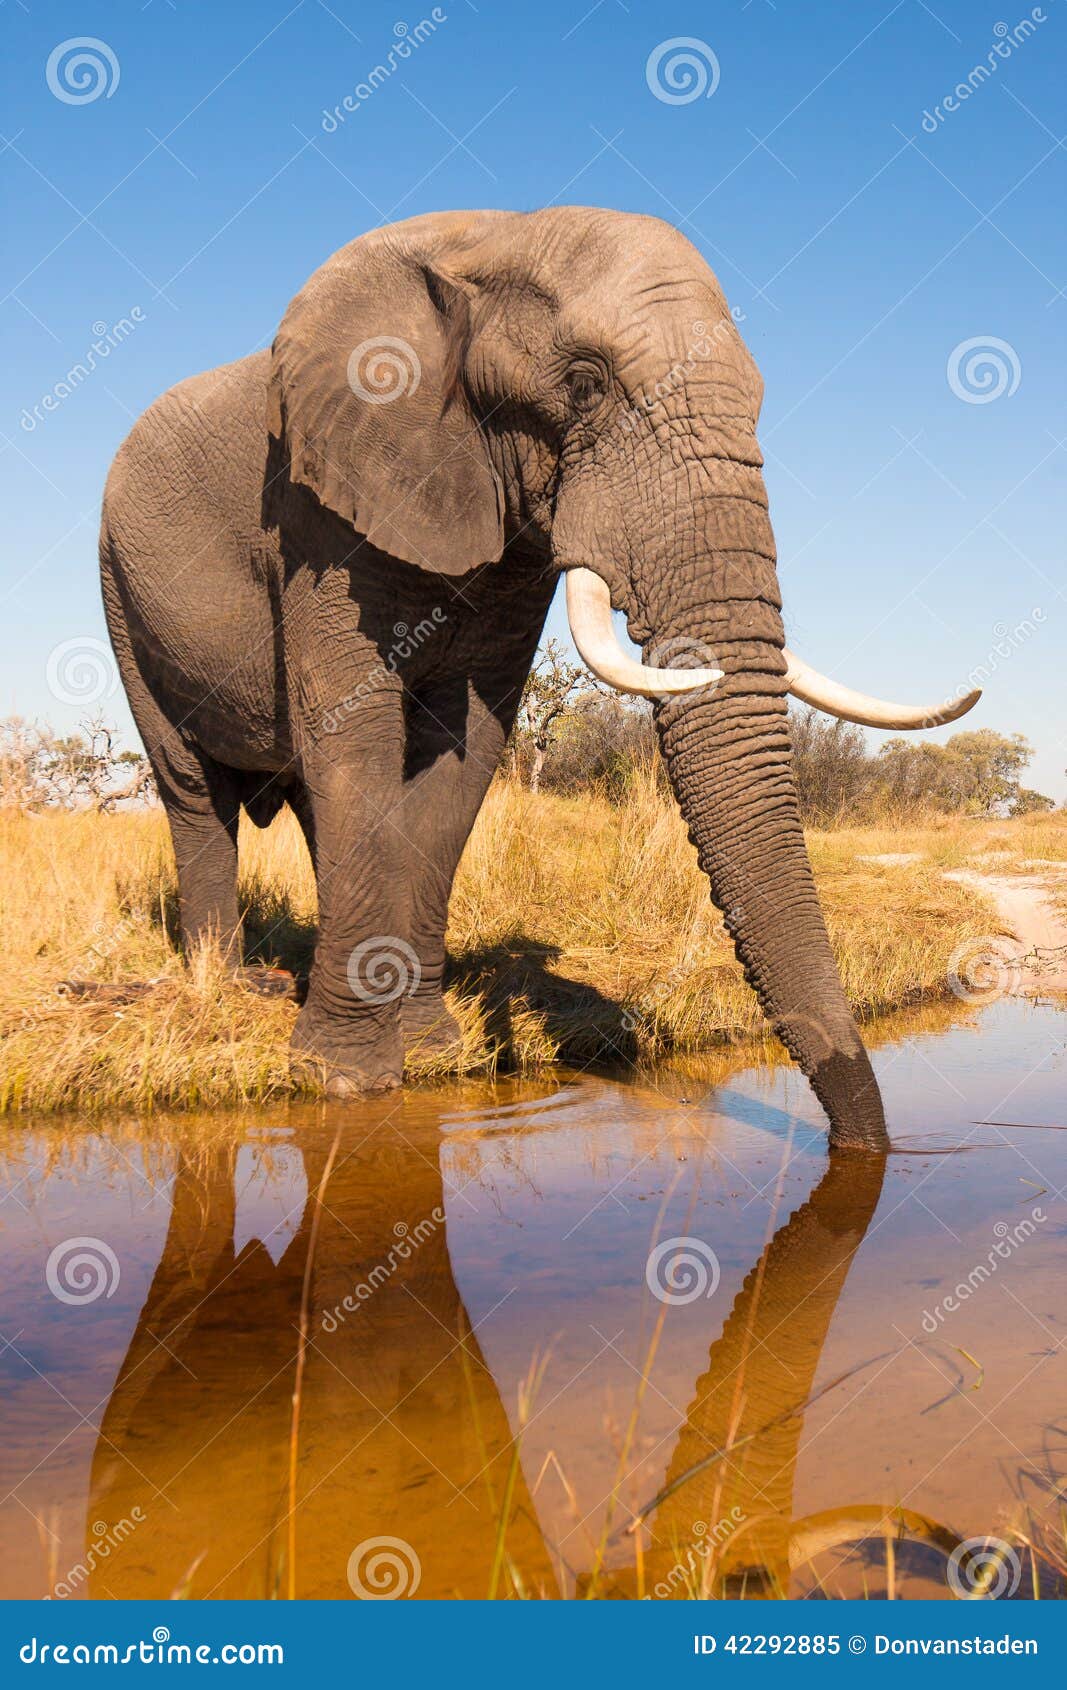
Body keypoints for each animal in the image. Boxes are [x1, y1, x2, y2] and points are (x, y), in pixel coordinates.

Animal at [100, 207, 979, 1150]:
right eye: (586, 386)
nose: (860, 1149)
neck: (495, 236)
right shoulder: (316, 516)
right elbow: (356, 732)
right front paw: (344, 1080)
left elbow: (462, 755)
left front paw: (431, 1050)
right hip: (120, 588)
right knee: (193, 790)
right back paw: (226, 988)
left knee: (303, 796)